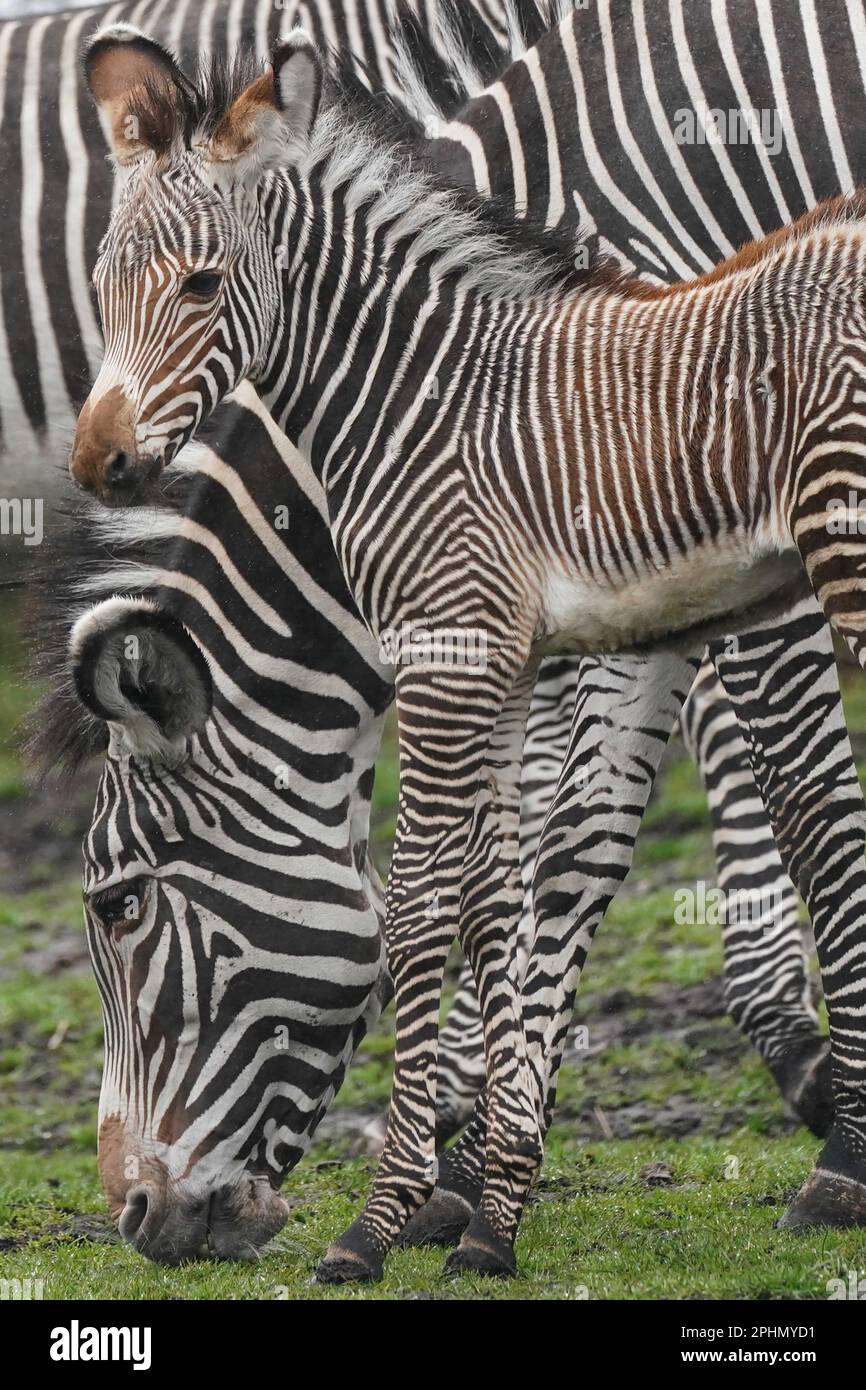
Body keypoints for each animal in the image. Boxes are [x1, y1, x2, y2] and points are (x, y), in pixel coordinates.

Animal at [3, 0, 840, 1267]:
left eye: (119, 904)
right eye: (98, 284)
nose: (137, 1218)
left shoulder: (714, 561)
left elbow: (798, 802)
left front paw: (837, 1142)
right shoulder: (580, 605)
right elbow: (546, 859)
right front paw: (478, 1174)